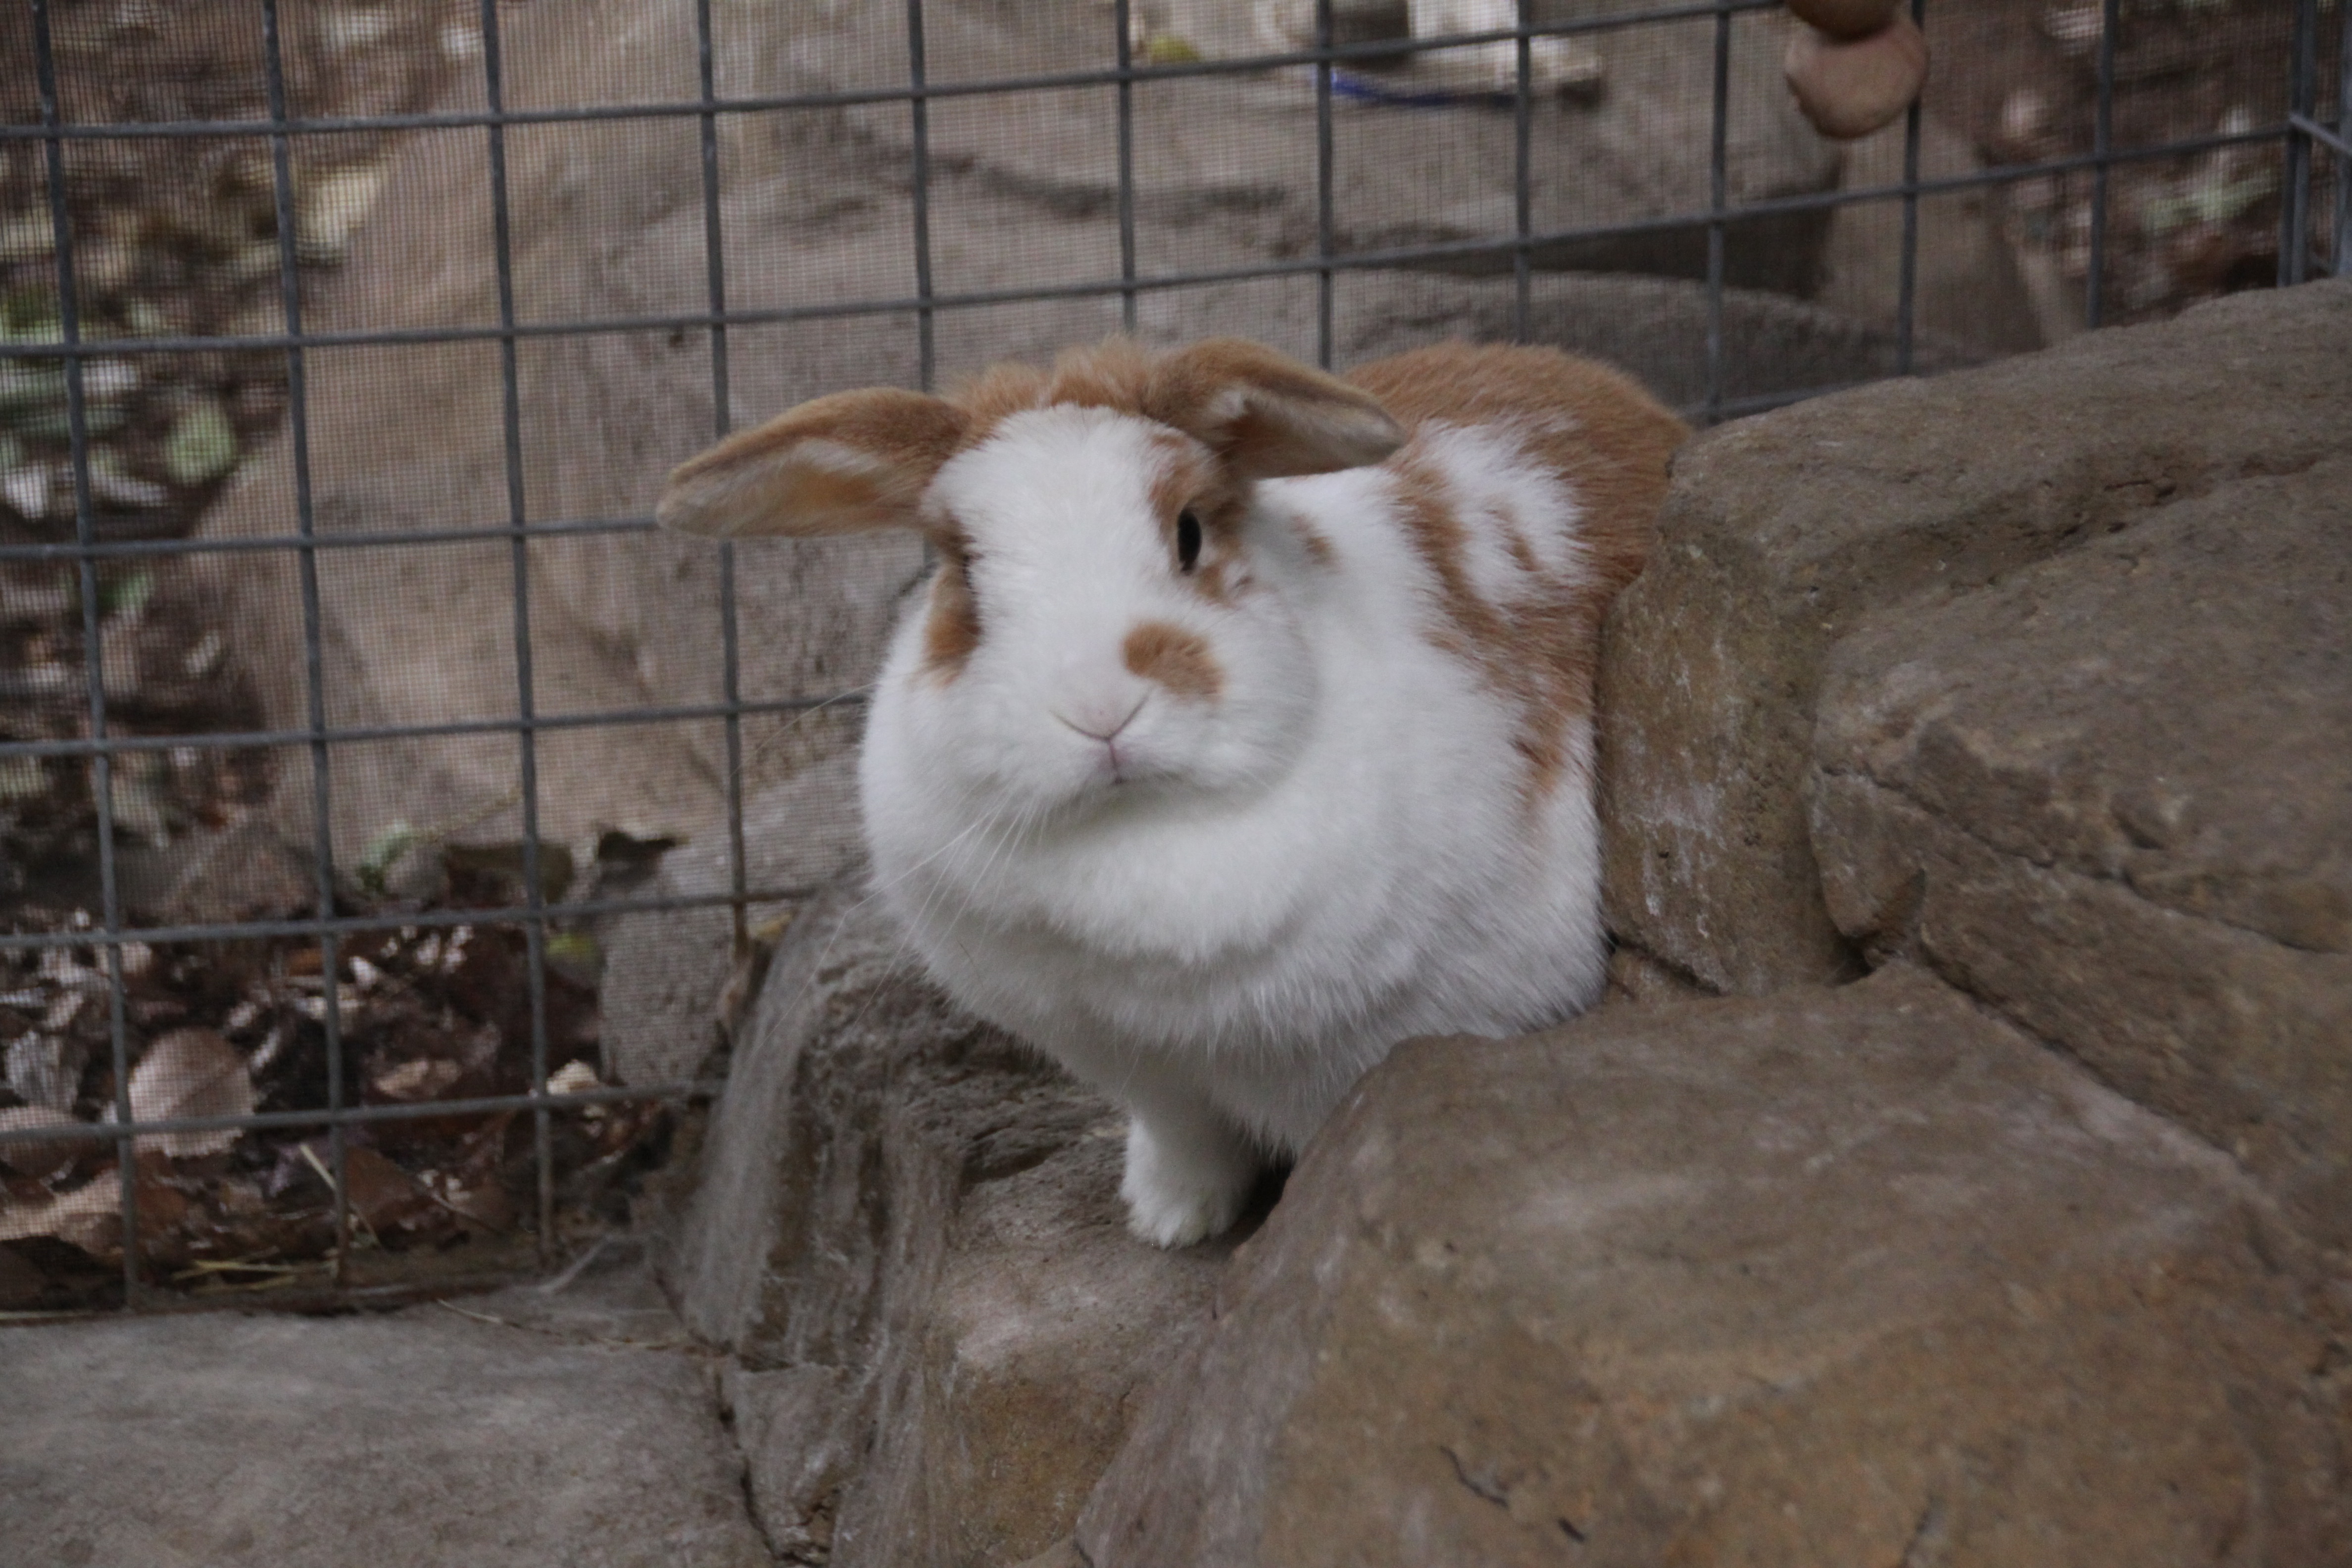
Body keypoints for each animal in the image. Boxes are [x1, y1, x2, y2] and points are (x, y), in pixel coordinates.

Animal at [658, 336, 1685, 1247]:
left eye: (1189, 532)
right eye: (963, 573)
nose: (1097, 709)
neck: (1139, 837)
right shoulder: (1150, 1073)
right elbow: (1188, 1141)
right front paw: (1169, 1221)